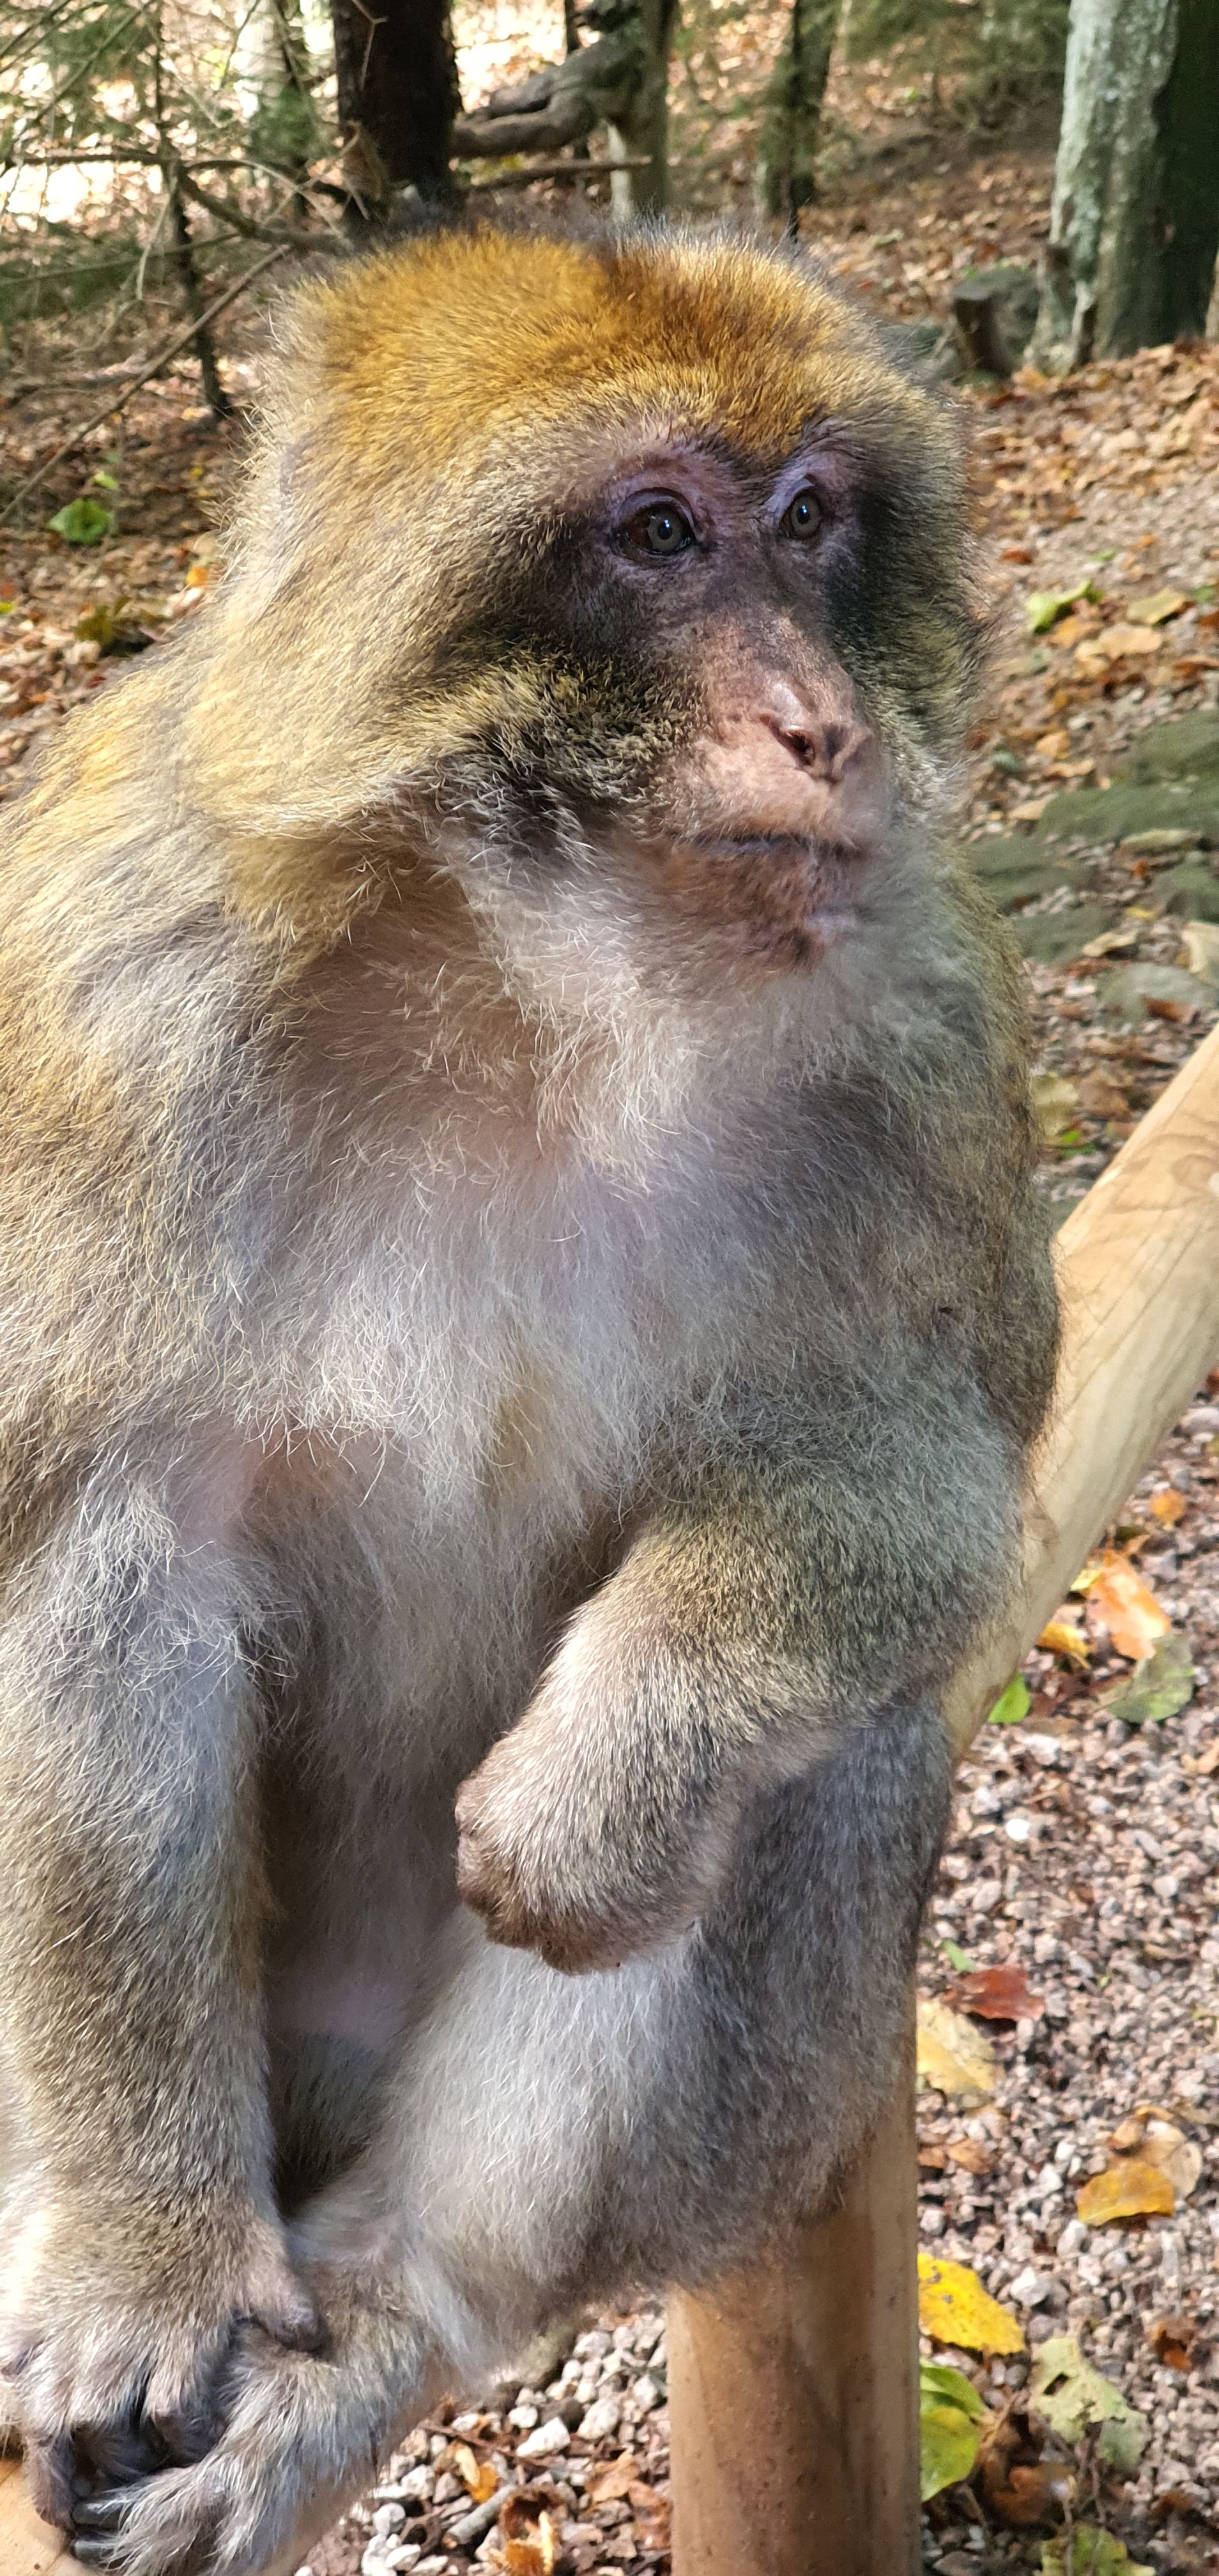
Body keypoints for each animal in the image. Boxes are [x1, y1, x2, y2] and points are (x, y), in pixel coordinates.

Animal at [0, 223, 1057, 2576]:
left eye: (810, 518)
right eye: (652, 535)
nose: (820, 720)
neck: (522, 973)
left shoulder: (925, 1008)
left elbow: (944, 1459)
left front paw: (608, 1777)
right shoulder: (113, 986)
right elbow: (92, 1551)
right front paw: (135, 2259)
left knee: (820, 1781)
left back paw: (397, 2310)